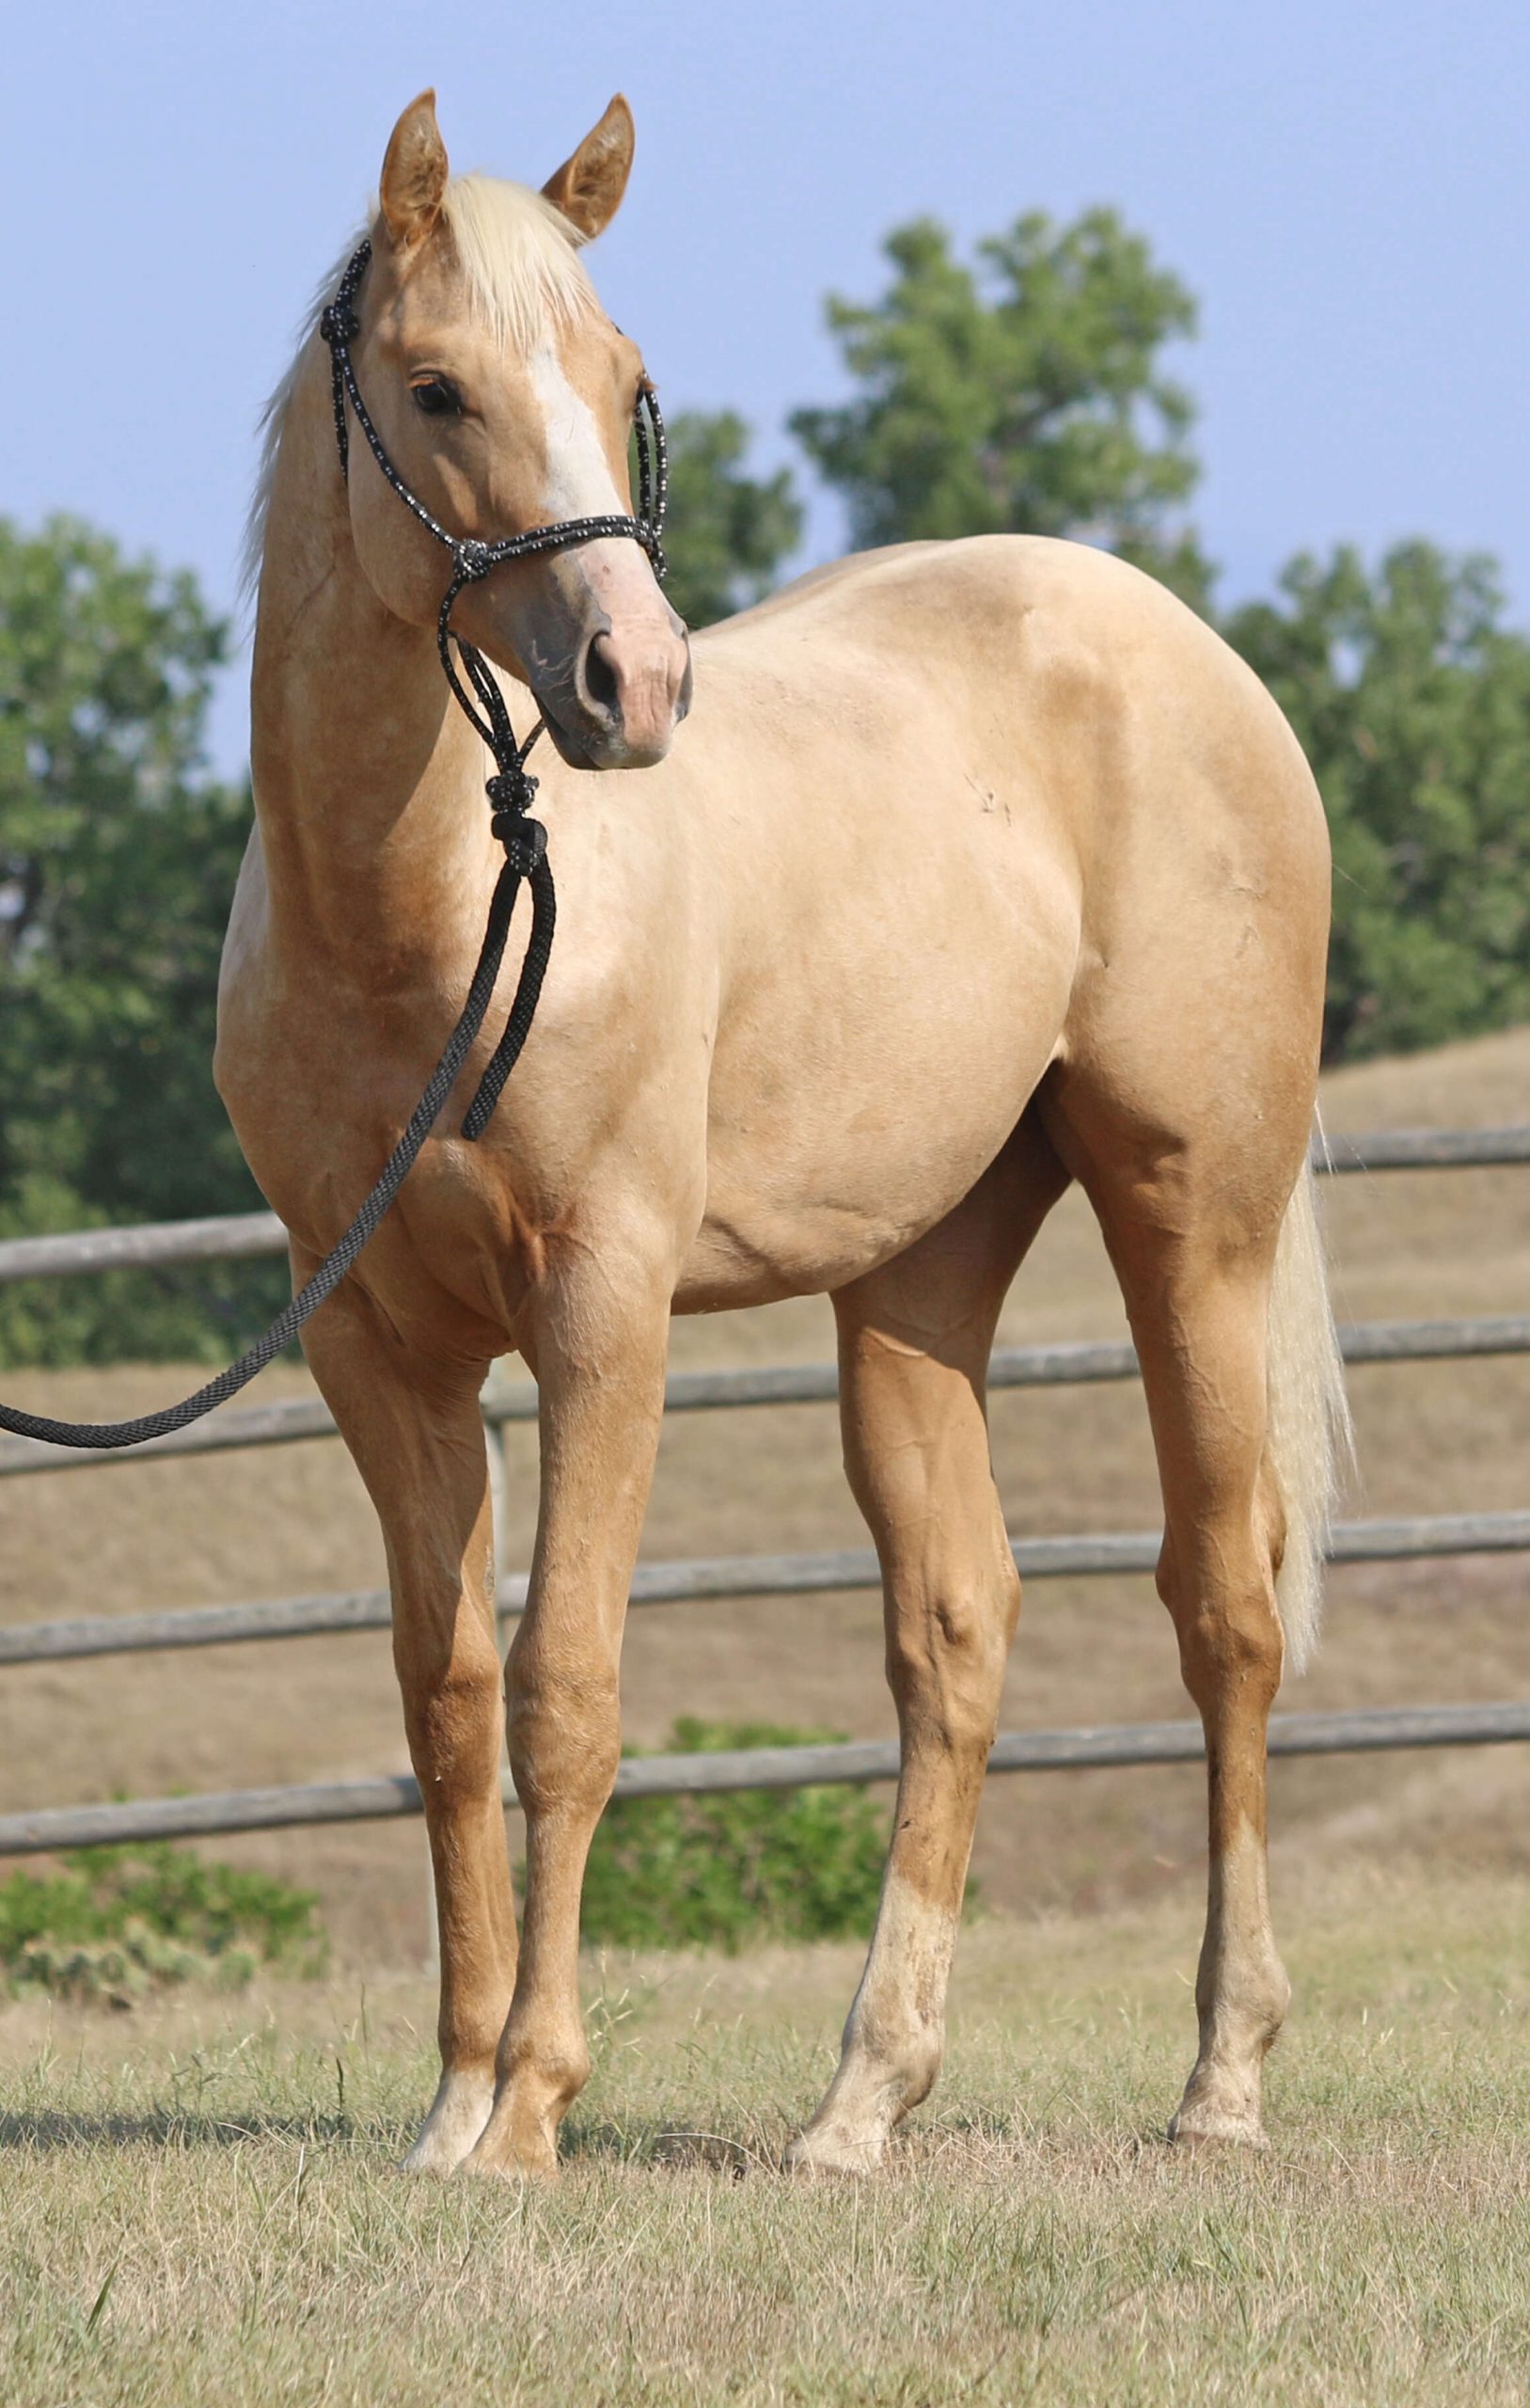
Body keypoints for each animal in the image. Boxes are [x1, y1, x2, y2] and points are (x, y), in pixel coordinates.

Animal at [221, 88, 1349, 2178]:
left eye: (620, 378)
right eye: (436, 387)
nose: (633, 686)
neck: (431, 920)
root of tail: (1180, 644)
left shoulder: (605, 1315)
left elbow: (569, 1691)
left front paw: (532, 2104)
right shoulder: (377, 1348)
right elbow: (448, 1698)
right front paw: (452, 2098)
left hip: (1194, 1219)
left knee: (1225, 1604)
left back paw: (1221, 2080)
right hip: (918, 1276)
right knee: (954, 1633)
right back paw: (859, 2101)